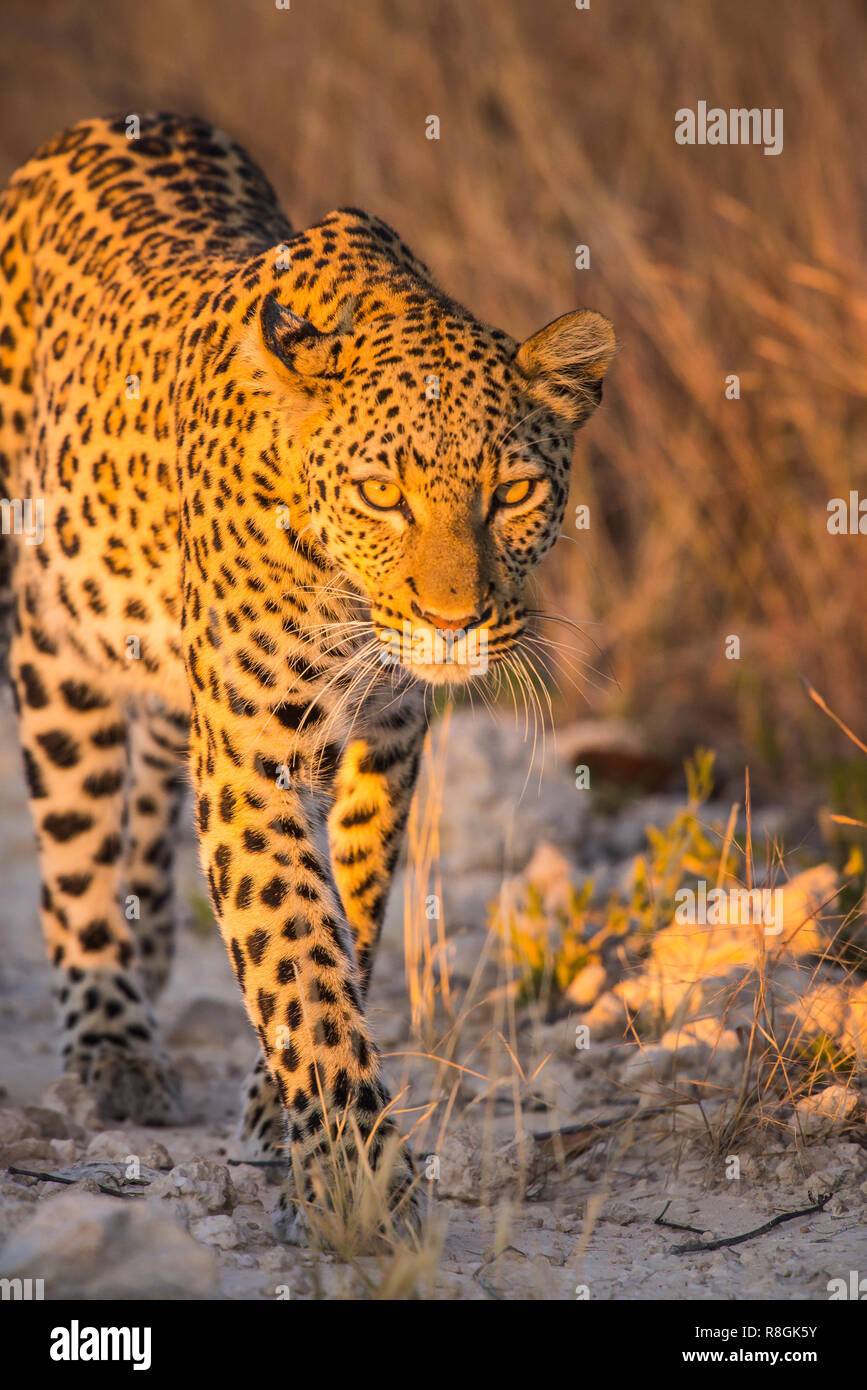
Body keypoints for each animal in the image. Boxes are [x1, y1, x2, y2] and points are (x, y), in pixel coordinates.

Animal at [0, 113, 615, 1238]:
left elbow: (349, 923)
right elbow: (296, 951)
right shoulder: (253, 754)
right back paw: (113, 1040)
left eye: (512, 492)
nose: (453, 622)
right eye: (381, 493)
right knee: (75, 844)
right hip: (55, 641)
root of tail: (99, 124)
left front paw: (280, 1116)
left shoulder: (391, 742)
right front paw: (362, 1177)